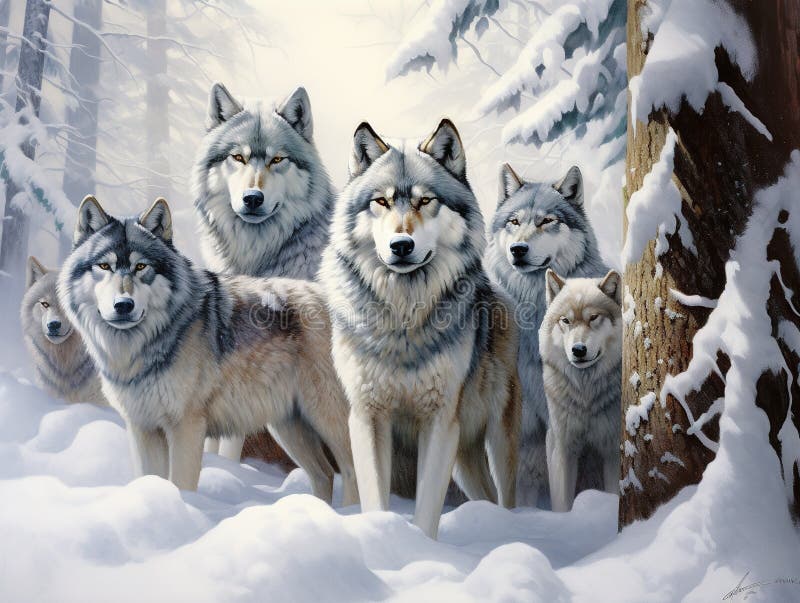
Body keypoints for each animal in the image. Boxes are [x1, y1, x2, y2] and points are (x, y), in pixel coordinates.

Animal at [58, 195, 357, 505]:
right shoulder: (143, 428)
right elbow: (149, 479)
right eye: (104, 266)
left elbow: (182, 484)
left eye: (141, 267)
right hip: (289, 426)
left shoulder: (186, 428)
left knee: (353, 472)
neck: (140, 349)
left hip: (328, 420)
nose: (123, 305)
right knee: (323, 474)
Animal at [321, 119, 521, 539]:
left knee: (506, 496)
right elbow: (375, 497)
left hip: (496, 439)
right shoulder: (367, 417)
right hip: (464, 456)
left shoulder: (440, 421)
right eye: (381, 202)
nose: (401, 245)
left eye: (426, 201)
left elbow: (428, 507)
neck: (403, 318)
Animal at [540, 270, 622, 512]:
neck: (587, 396)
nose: (578, 350)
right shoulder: (563, 448)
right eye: (565, 320)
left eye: (593, 318)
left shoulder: (612, 451)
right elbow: (562, 502)